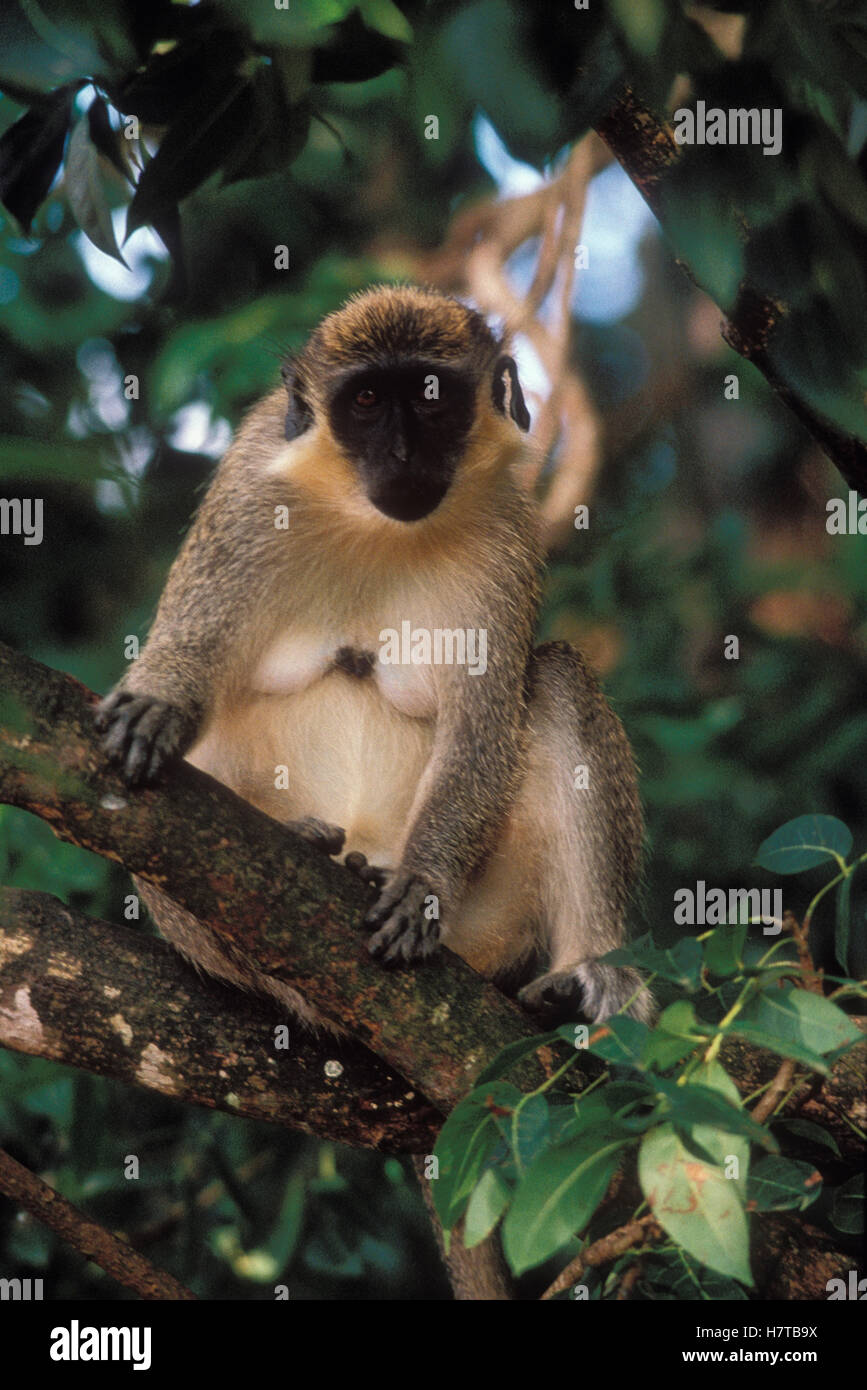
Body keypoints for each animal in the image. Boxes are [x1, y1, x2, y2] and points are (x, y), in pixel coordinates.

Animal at [95, 284, 651, 1295]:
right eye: (363, 404)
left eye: (429, 400)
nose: (400, 454)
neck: (369, 523)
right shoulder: (247, 494)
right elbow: (179, 658)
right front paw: (155, 706)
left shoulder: (507, 530)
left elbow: (482, 725)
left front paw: (421, 886)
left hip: (491, 925)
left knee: (554, 678)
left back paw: (591, 984)